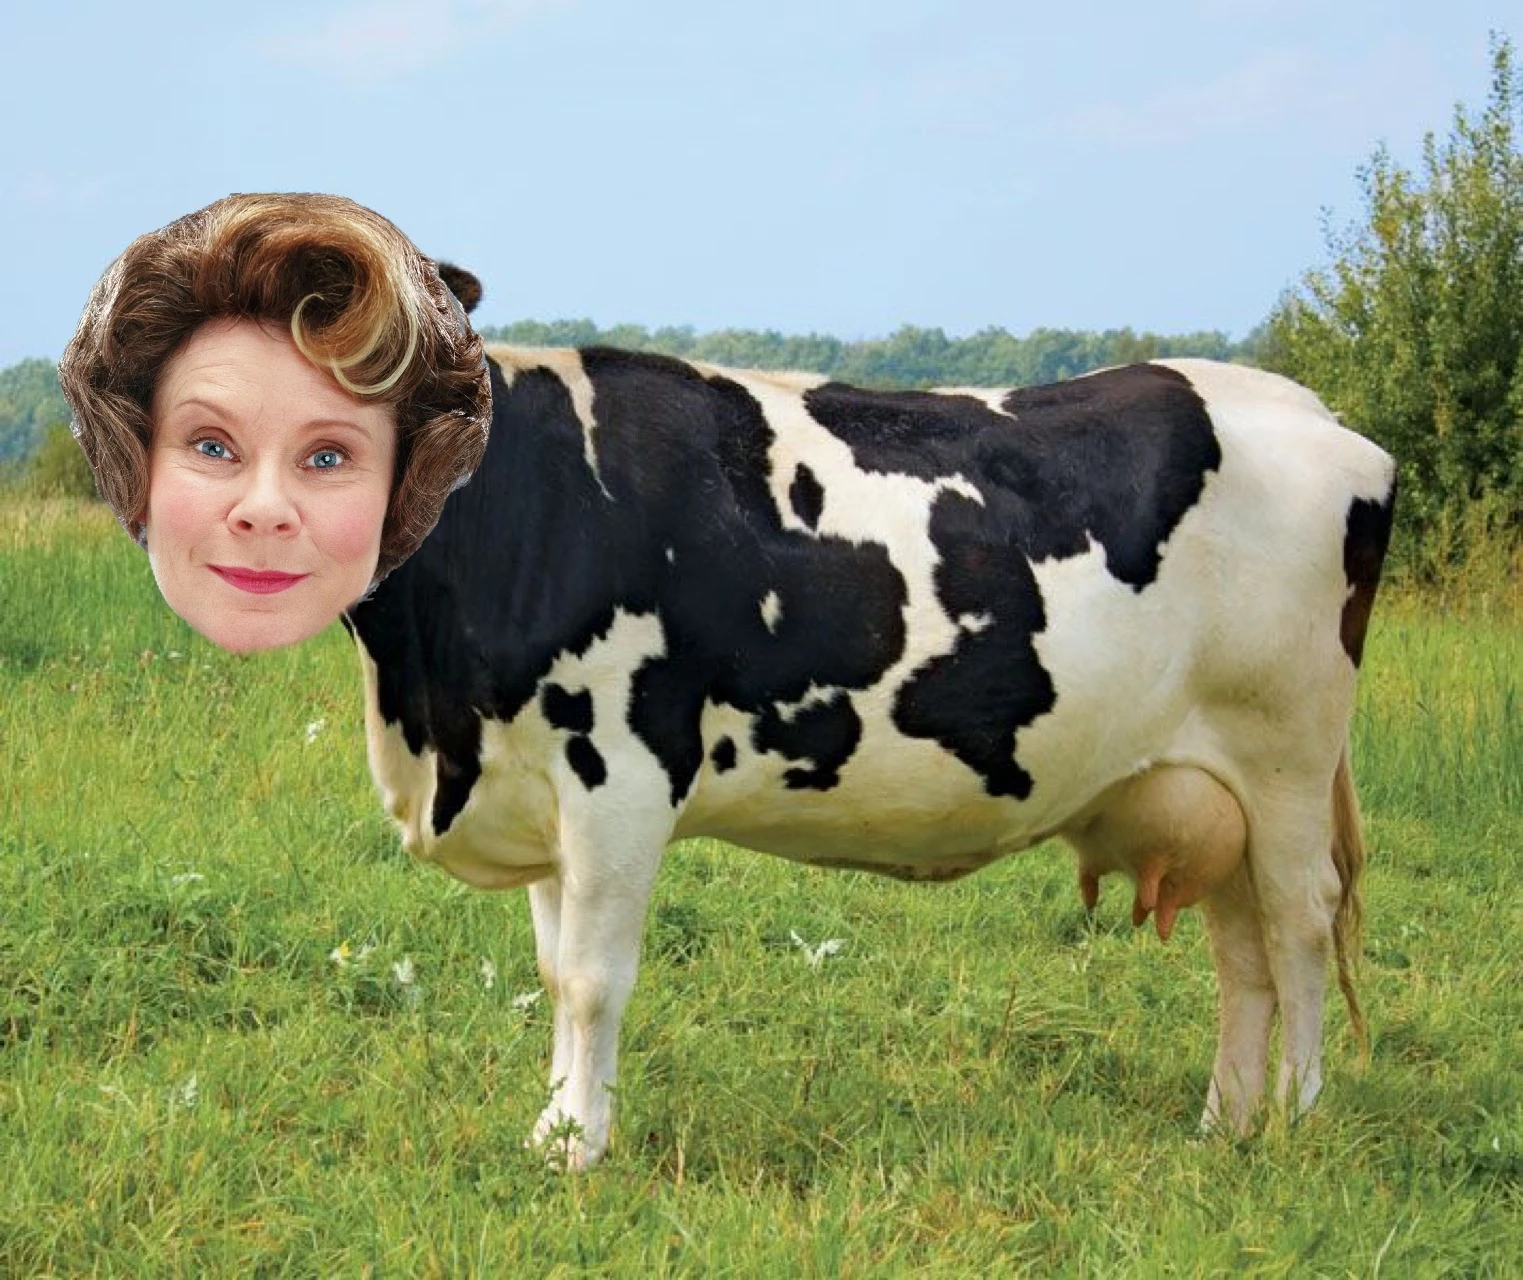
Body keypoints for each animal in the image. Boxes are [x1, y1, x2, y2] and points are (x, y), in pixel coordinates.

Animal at [342, 270, 1397, 1169]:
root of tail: (1310, 410)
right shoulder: (534, 782)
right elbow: (557, 971)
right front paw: (554, 1131)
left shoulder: (621, 775)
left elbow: (595, 978)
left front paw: (578, 1151)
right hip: (1215, 785)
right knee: (1242, 949)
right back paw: (1224, 1127)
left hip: (1287, 756)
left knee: (1299, 926)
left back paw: (1293, 1121)